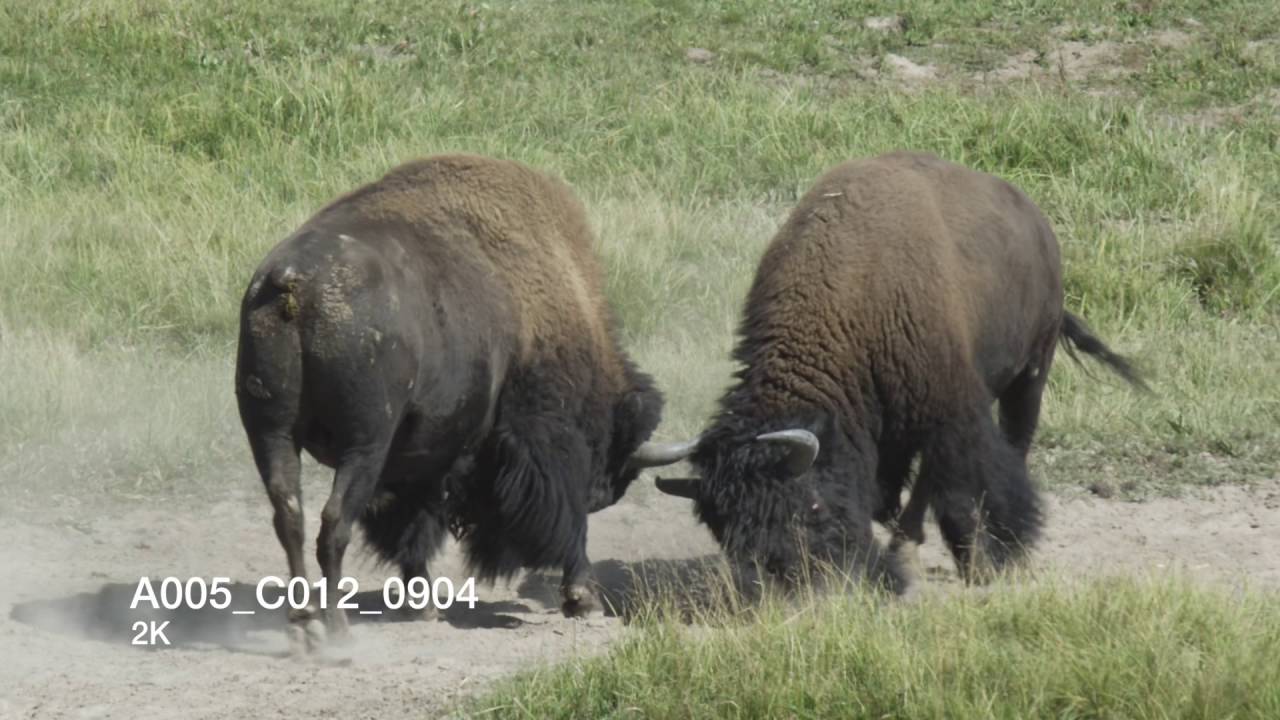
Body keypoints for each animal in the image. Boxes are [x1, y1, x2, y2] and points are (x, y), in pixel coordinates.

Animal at [235, 154, 693, 649]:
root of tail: (293, 283)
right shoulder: (542, 447)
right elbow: (567, 521)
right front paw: (583, 600)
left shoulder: (421, 460)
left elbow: (412, 532)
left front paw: (423, 606)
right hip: (363, 445)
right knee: (333, 523)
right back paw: (336, 628)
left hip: (272, 435)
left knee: (290, 515)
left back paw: (306, 621)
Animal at [656, 151, 1146, 592]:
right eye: (719, 525)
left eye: (807, 507)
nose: (789, 582)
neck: (852, 300)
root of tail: (1037, 223)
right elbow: (891, 494)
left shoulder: (949, 410)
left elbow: (956, 485)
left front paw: (971, 561)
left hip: (1030, 373)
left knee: (1012, 445)